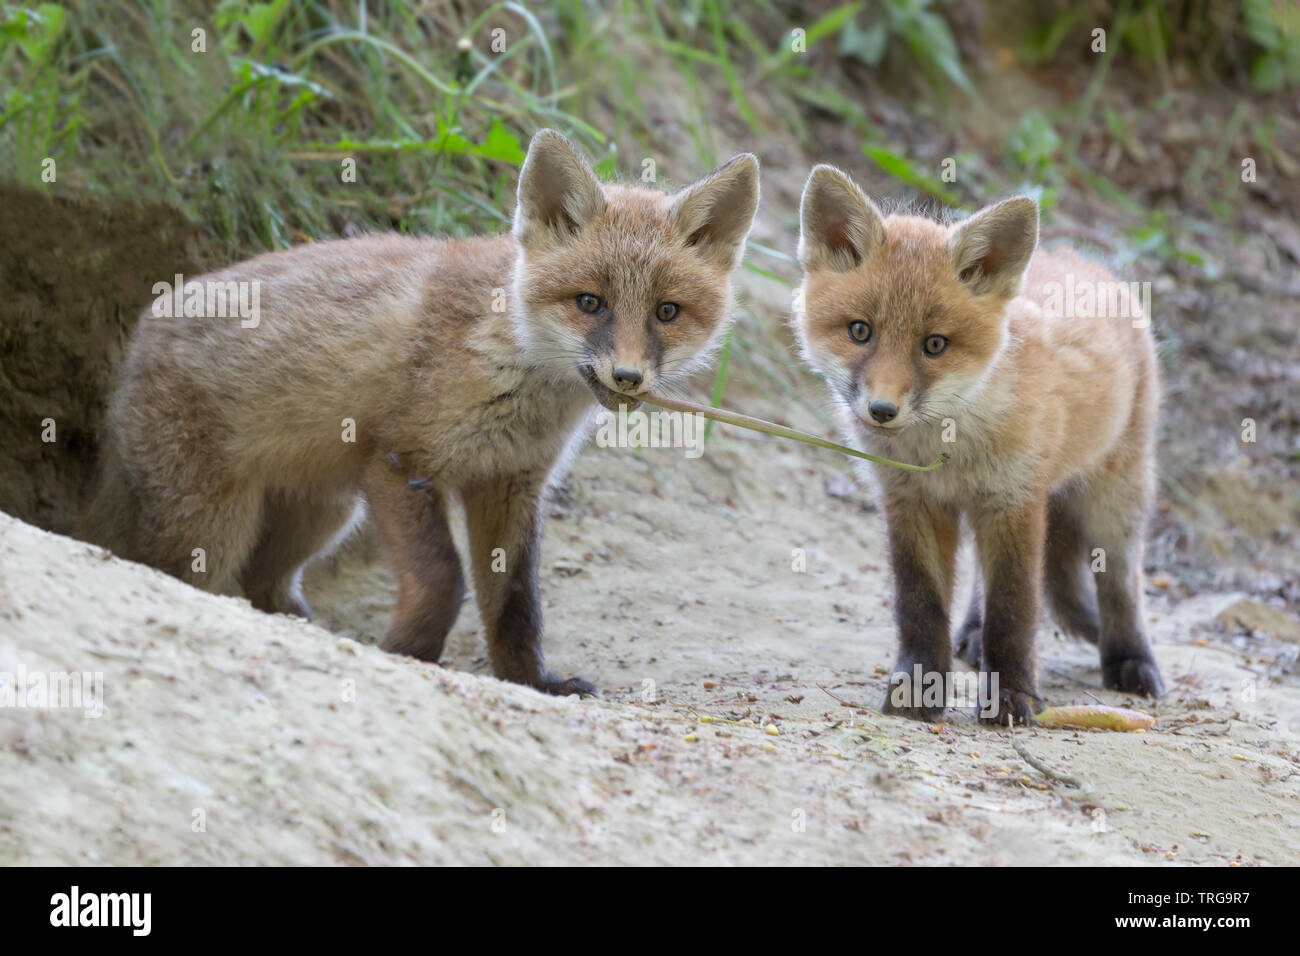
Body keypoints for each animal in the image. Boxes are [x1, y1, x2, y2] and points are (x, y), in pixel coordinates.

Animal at [83, 129, 759, 696]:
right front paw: (407, 652)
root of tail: (141, 329)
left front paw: (533, 681)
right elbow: (442, 577)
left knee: (263, 583)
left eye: (667, 312)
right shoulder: (399, 461)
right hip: (211, 528)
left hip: (325, 515)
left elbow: (516, 603)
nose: (628, 377)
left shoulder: (511, 483)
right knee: (173, 570)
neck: (508, 363)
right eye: (589, 303)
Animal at [792, 164, 1165, 725]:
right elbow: (920, 606)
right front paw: (919, 687)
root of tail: (1079, 258)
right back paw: (969, 635)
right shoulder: (911, 502)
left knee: (1122, 583)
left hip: (1115, 498)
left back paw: (1131, 660)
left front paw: (1012, 695)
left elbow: (1014, 610)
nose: (881, 410)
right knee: (978, 589)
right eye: (860, 331)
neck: (944, 451)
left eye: (935, 344)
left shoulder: (1015, 499)